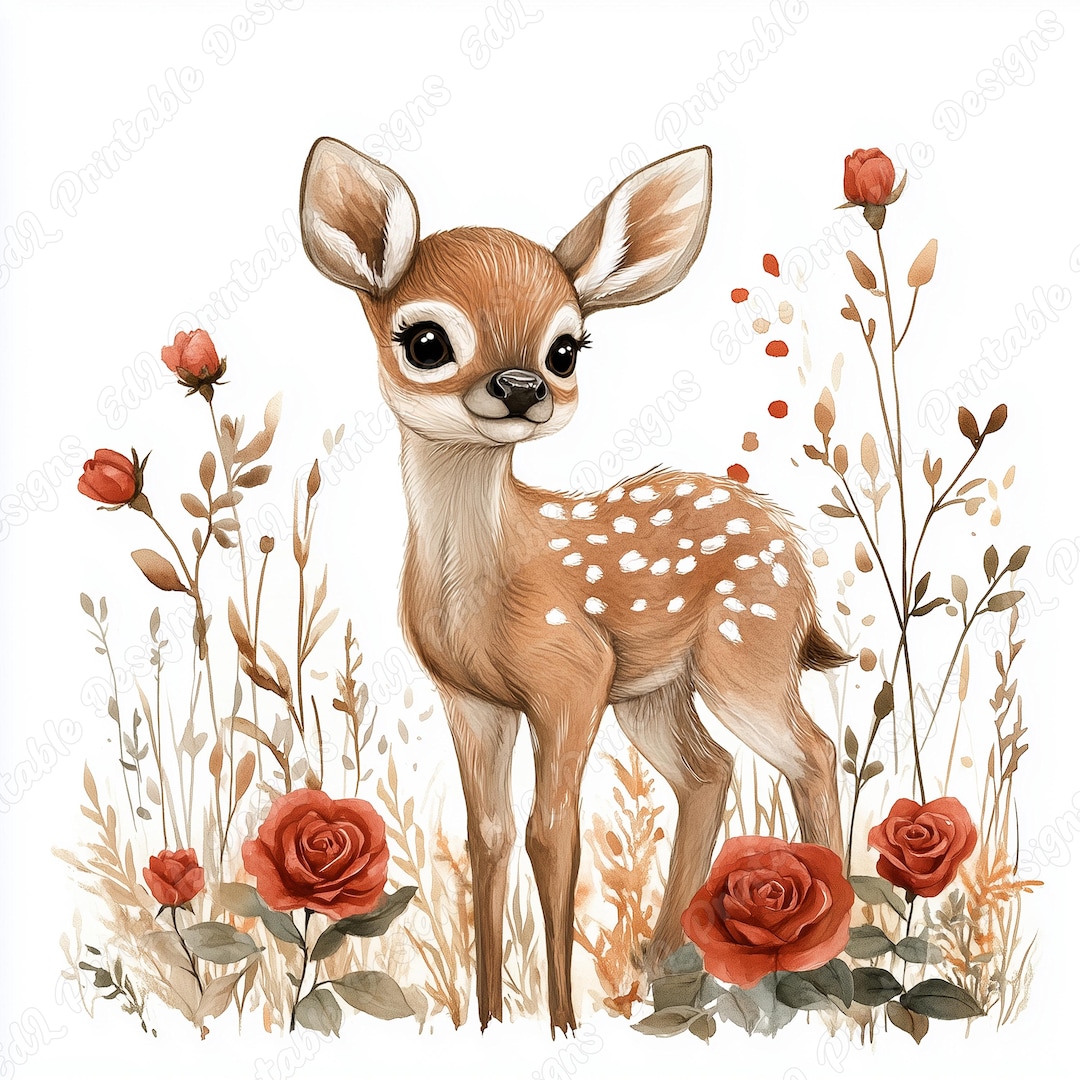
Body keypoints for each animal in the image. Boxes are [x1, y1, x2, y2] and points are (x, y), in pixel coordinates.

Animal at [298, 137, 851, 1036]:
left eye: (566, 350)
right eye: (425, 340)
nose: (523, 388)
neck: (484, 589)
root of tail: (793, 552)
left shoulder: (571, 675)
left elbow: (553, 835)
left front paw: (558, 1022)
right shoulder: (472, 698)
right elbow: (486, 836)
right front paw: (488, 1018)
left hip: (745, 654)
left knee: (812, 751)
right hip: (655, 691)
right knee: (709, 772)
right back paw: (661, 961)